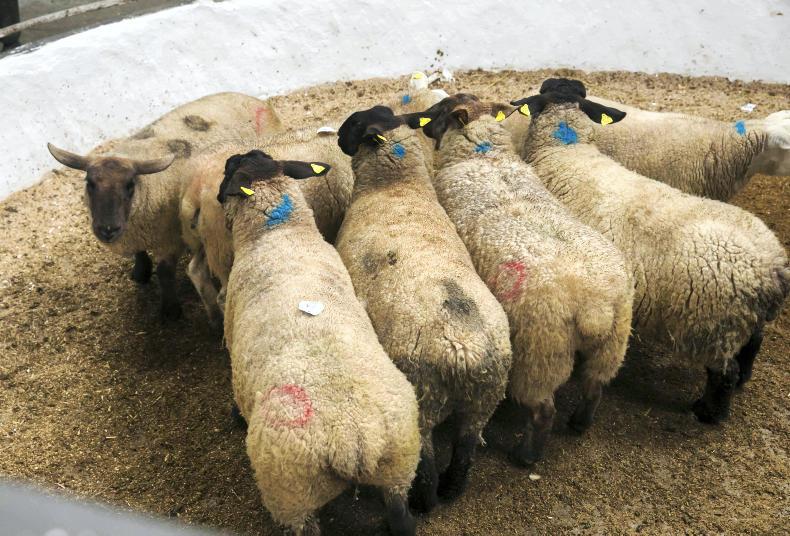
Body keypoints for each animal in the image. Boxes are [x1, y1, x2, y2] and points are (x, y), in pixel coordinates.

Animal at [47, 92, 284, 320]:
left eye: (130, 186)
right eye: (90, 183)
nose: (107, 229)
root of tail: (252, 99)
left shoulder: (169, 238)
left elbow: (164, 273)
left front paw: (170, 310)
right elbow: (140, 253)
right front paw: (140, 272)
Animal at [217, 149, 420, 536]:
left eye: (229, 169)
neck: (280, 232)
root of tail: (352, 442)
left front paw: (235, 415)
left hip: (293, 496)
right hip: (398, 468)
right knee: (403, 519)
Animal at [335, 106, 512, 509]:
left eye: (355, 123)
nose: (336, 136)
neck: (396, 186)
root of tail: (463, 349)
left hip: (423, 397)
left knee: (427, 464)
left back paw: (424, 500)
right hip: (484, 399)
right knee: (464, 453)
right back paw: (452, 489)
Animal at [409, 94, 633, 467]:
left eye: (440, 111)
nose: (420, 124)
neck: (485, 155)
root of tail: (595, 308)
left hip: (540, 356)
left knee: (543, 411)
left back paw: (526, 456)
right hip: (613, 344)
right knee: (595, 386)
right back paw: (579, 424)